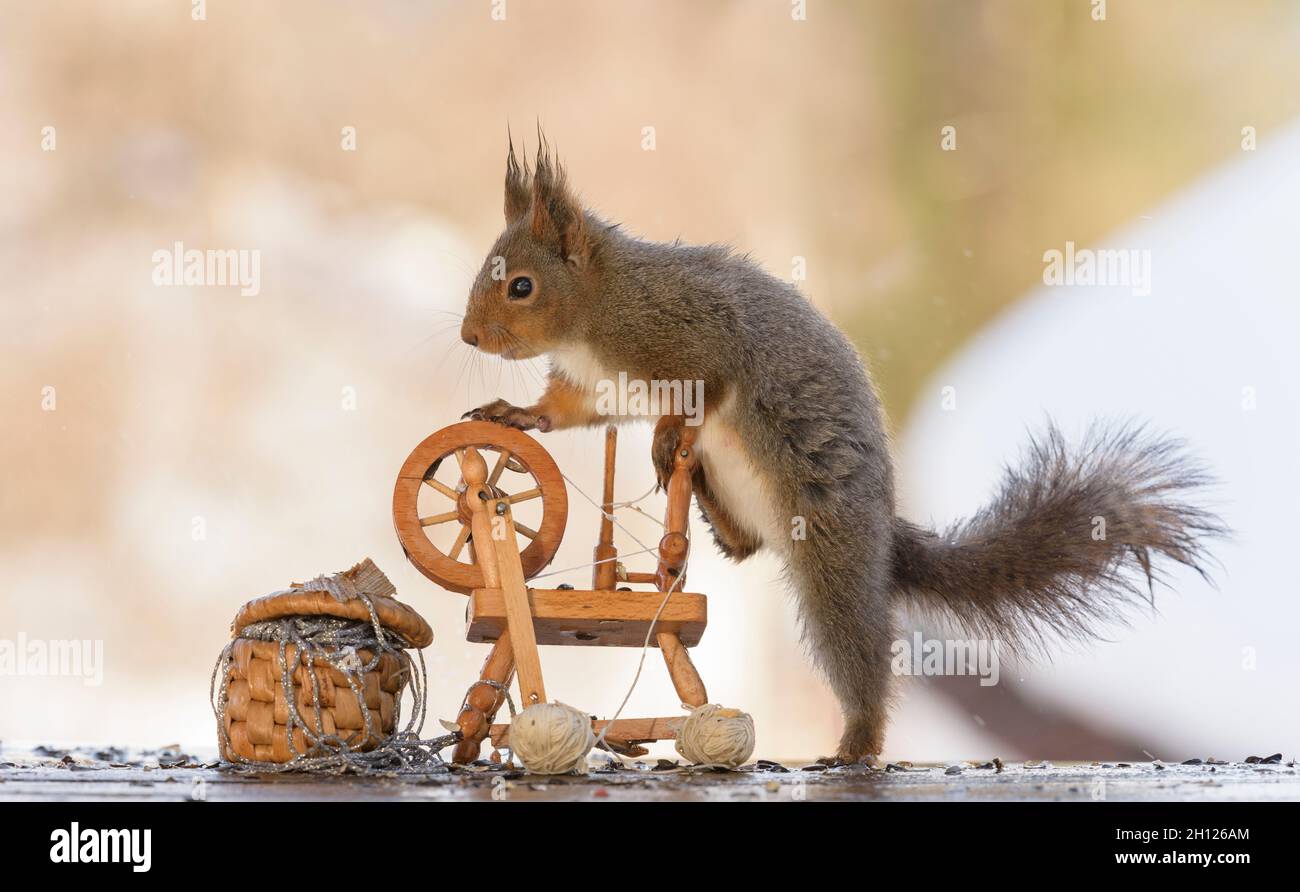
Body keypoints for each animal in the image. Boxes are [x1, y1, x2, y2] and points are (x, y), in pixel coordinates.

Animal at [457, 136, 1226, 762]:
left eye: (521, 286)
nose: (469, 337)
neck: (598, 307)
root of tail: (882, 525)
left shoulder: (694, 333)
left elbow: (707, 386)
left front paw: (669, 432)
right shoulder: (594, 386)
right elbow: (562, 410)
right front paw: (510, 413)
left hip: (828, 543)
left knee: (857, 650)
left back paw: (856, 743)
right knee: (745, 547)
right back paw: (701, 495)